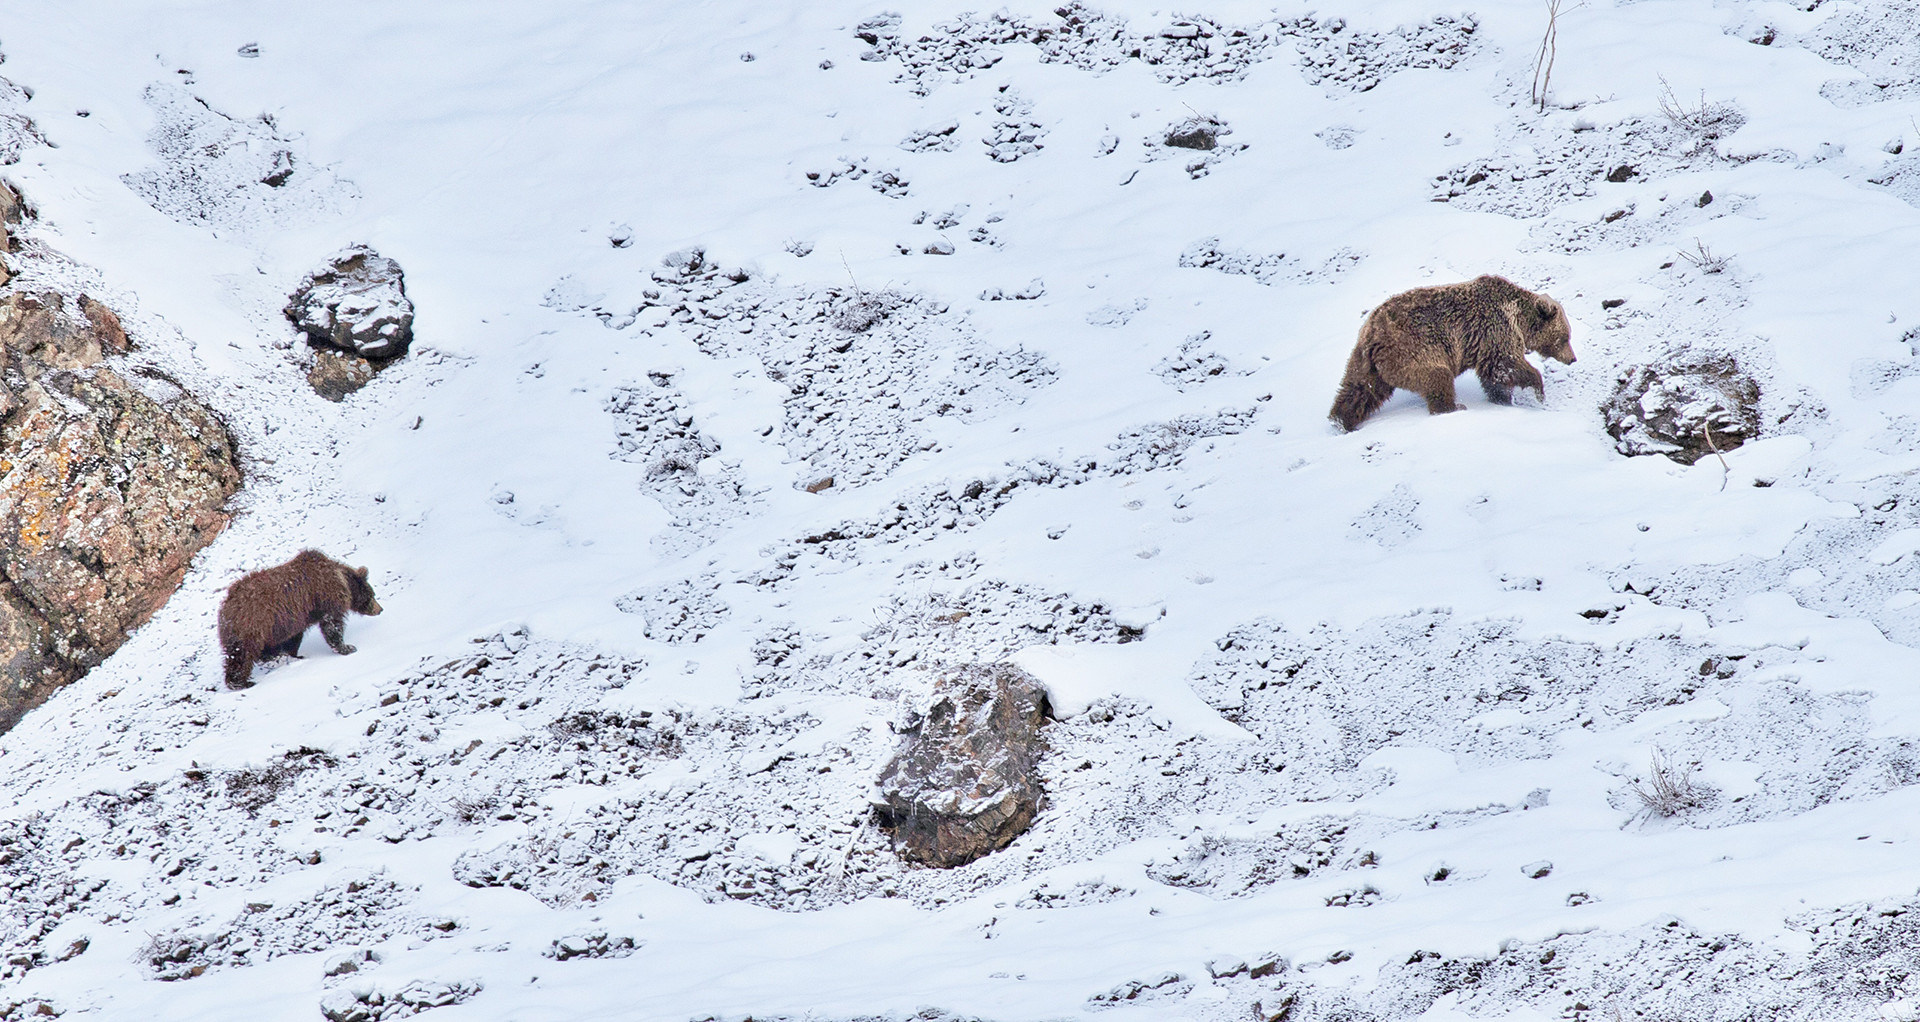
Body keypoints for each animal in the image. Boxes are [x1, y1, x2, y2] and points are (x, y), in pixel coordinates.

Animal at [218, 550, 382, 690]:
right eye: (372, 595)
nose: (380, 609)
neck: (343, 580)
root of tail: (225, 607)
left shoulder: (294, 618)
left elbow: (294, 638)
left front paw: (294, 654)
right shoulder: (325, 597)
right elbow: (332, 626)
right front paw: (348, 647)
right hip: (251, 625)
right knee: (241, 654)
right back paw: (241, 682)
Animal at [1329, 274, 1576, 432]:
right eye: (1565, 337)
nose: (1572, 359)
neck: (1519, 319)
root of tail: (1373, 334)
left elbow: (1494, 376)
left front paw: (1502, 399)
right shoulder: (1494, 329)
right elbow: (1504, 364)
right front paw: (1538, 390)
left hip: (1366, 361)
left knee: (1359, 389)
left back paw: (1341, 420)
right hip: (1414, 350)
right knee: (1438, 377)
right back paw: (1453, 407)